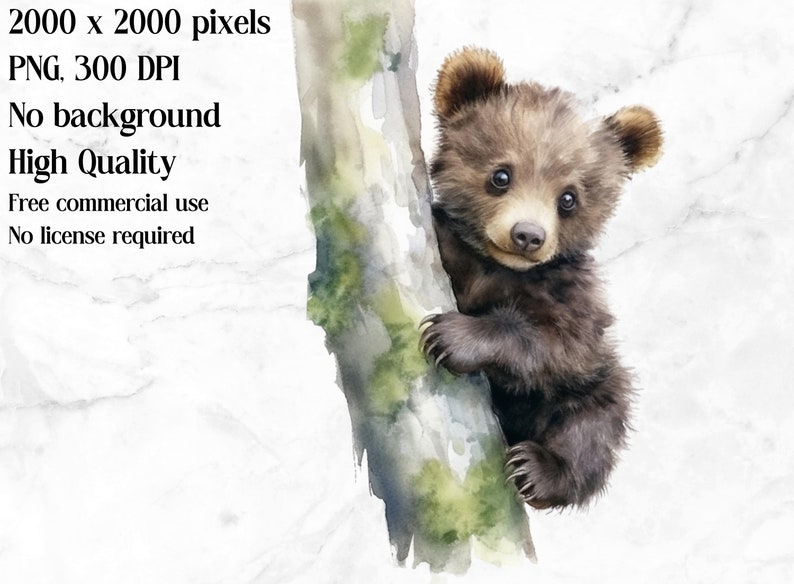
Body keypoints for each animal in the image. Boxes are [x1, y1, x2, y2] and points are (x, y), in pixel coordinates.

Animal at [420, 47, 662, 509]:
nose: (528, 235)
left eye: (569, 198)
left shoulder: (569, 293)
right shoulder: (452, 247)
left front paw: (449, 336)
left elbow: (555, 343)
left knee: (592, 423)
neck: (495, 266)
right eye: (501, 174)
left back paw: (537, 469)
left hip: (593, 389)